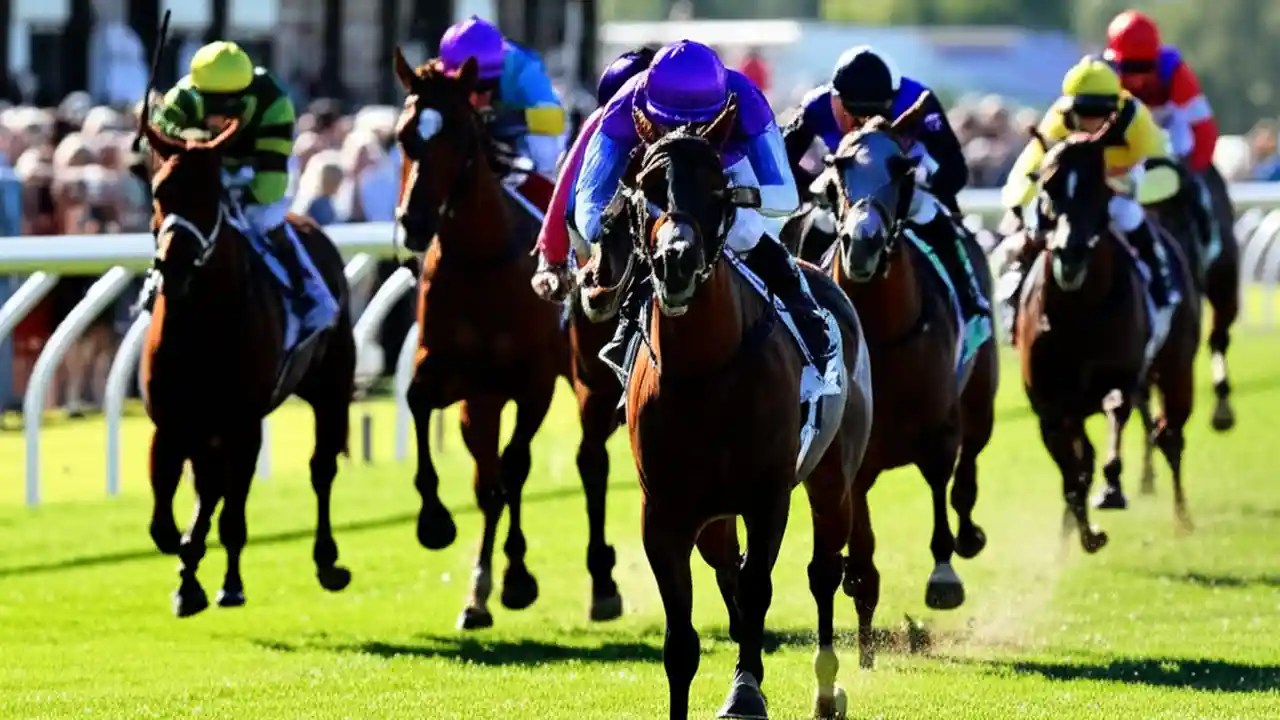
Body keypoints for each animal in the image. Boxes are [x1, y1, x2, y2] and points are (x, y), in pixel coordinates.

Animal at [139, 119, 355, 617]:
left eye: (211, 192)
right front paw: (187, 575)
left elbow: (231, 512)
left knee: (321, 469)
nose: (173, 265)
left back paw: (327, 562)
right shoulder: (172, 422)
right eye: (160, 190)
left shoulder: (243, 423)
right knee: (210, 486)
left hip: (330, 387)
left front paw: (228, 584)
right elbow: (166, 519)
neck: (200, 322)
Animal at [391, 49, 622, 628]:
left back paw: (603, 581)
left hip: (590, 380)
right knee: (490, 477)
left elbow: (516, 468)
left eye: (456, 133)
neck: (479, 262)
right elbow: (422, 409)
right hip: (485, 399)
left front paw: (517, 577)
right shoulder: (455, 377)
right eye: (404, 136)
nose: (414, 222)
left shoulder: (532, 383)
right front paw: (437, 525)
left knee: (591, 462)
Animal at [595, 97, 873, 720]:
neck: (705, 371)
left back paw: (826, 689)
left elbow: (760, 586)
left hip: (832, 477)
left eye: (716, 187)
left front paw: (745, 691)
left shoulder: (767, 498)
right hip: (712, 517)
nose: (675, 260)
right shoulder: (664, 513)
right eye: (649, 184)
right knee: (728, 567)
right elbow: (683, 636)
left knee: (822, 571)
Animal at [786, 99, 998, 667]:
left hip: (983, 395)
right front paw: (863, 633)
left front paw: (944, 575)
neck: (882, 334)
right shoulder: (852, 459)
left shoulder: (940, 429)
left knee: (971, 463)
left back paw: (969, 532)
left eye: (902, 169)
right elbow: (860, 552)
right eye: (838, 167)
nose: (861, 244)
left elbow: (940, 480)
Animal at [1013, 122, 1198, 549]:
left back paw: (1183, 518)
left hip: (1177, 367)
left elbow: (1115, 415)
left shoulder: (1119, 378)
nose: (1071, 254)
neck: (1076, 311)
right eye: (1046, 185)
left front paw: (1111, 489)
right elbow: (1073, 472)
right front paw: (1081, 534)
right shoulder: (1050, 407)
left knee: (1171, 436)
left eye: (1098, 188)